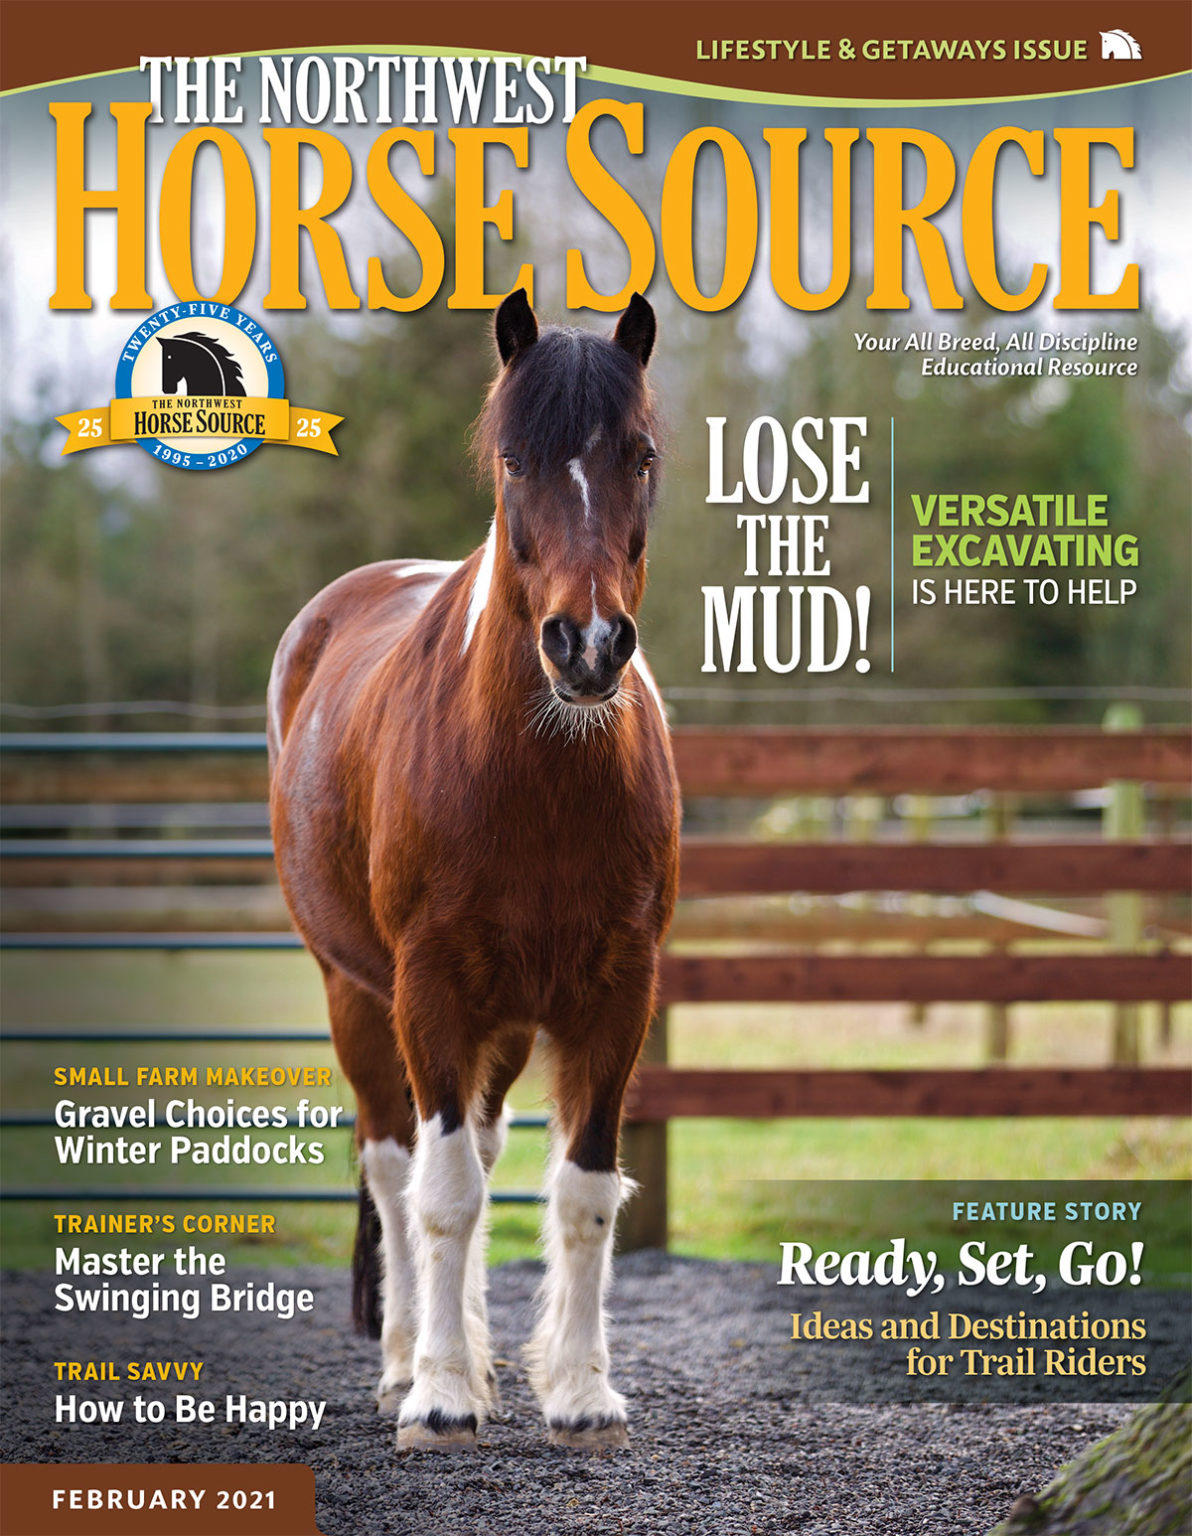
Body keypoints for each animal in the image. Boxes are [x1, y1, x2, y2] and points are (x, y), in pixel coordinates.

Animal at [267, 290, 680, 1452]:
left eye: (640, 455)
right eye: (511, 459)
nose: (587, 645)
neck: (534, 778)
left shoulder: (614, 996)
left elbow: (584, 1191)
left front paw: (579, 1392)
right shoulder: (431, 990)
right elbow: (441, 1192)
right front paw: (445, 1393)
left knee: (481, 1157)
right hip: (357, 994)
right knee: (396, 1162)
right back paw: (409, 1362)